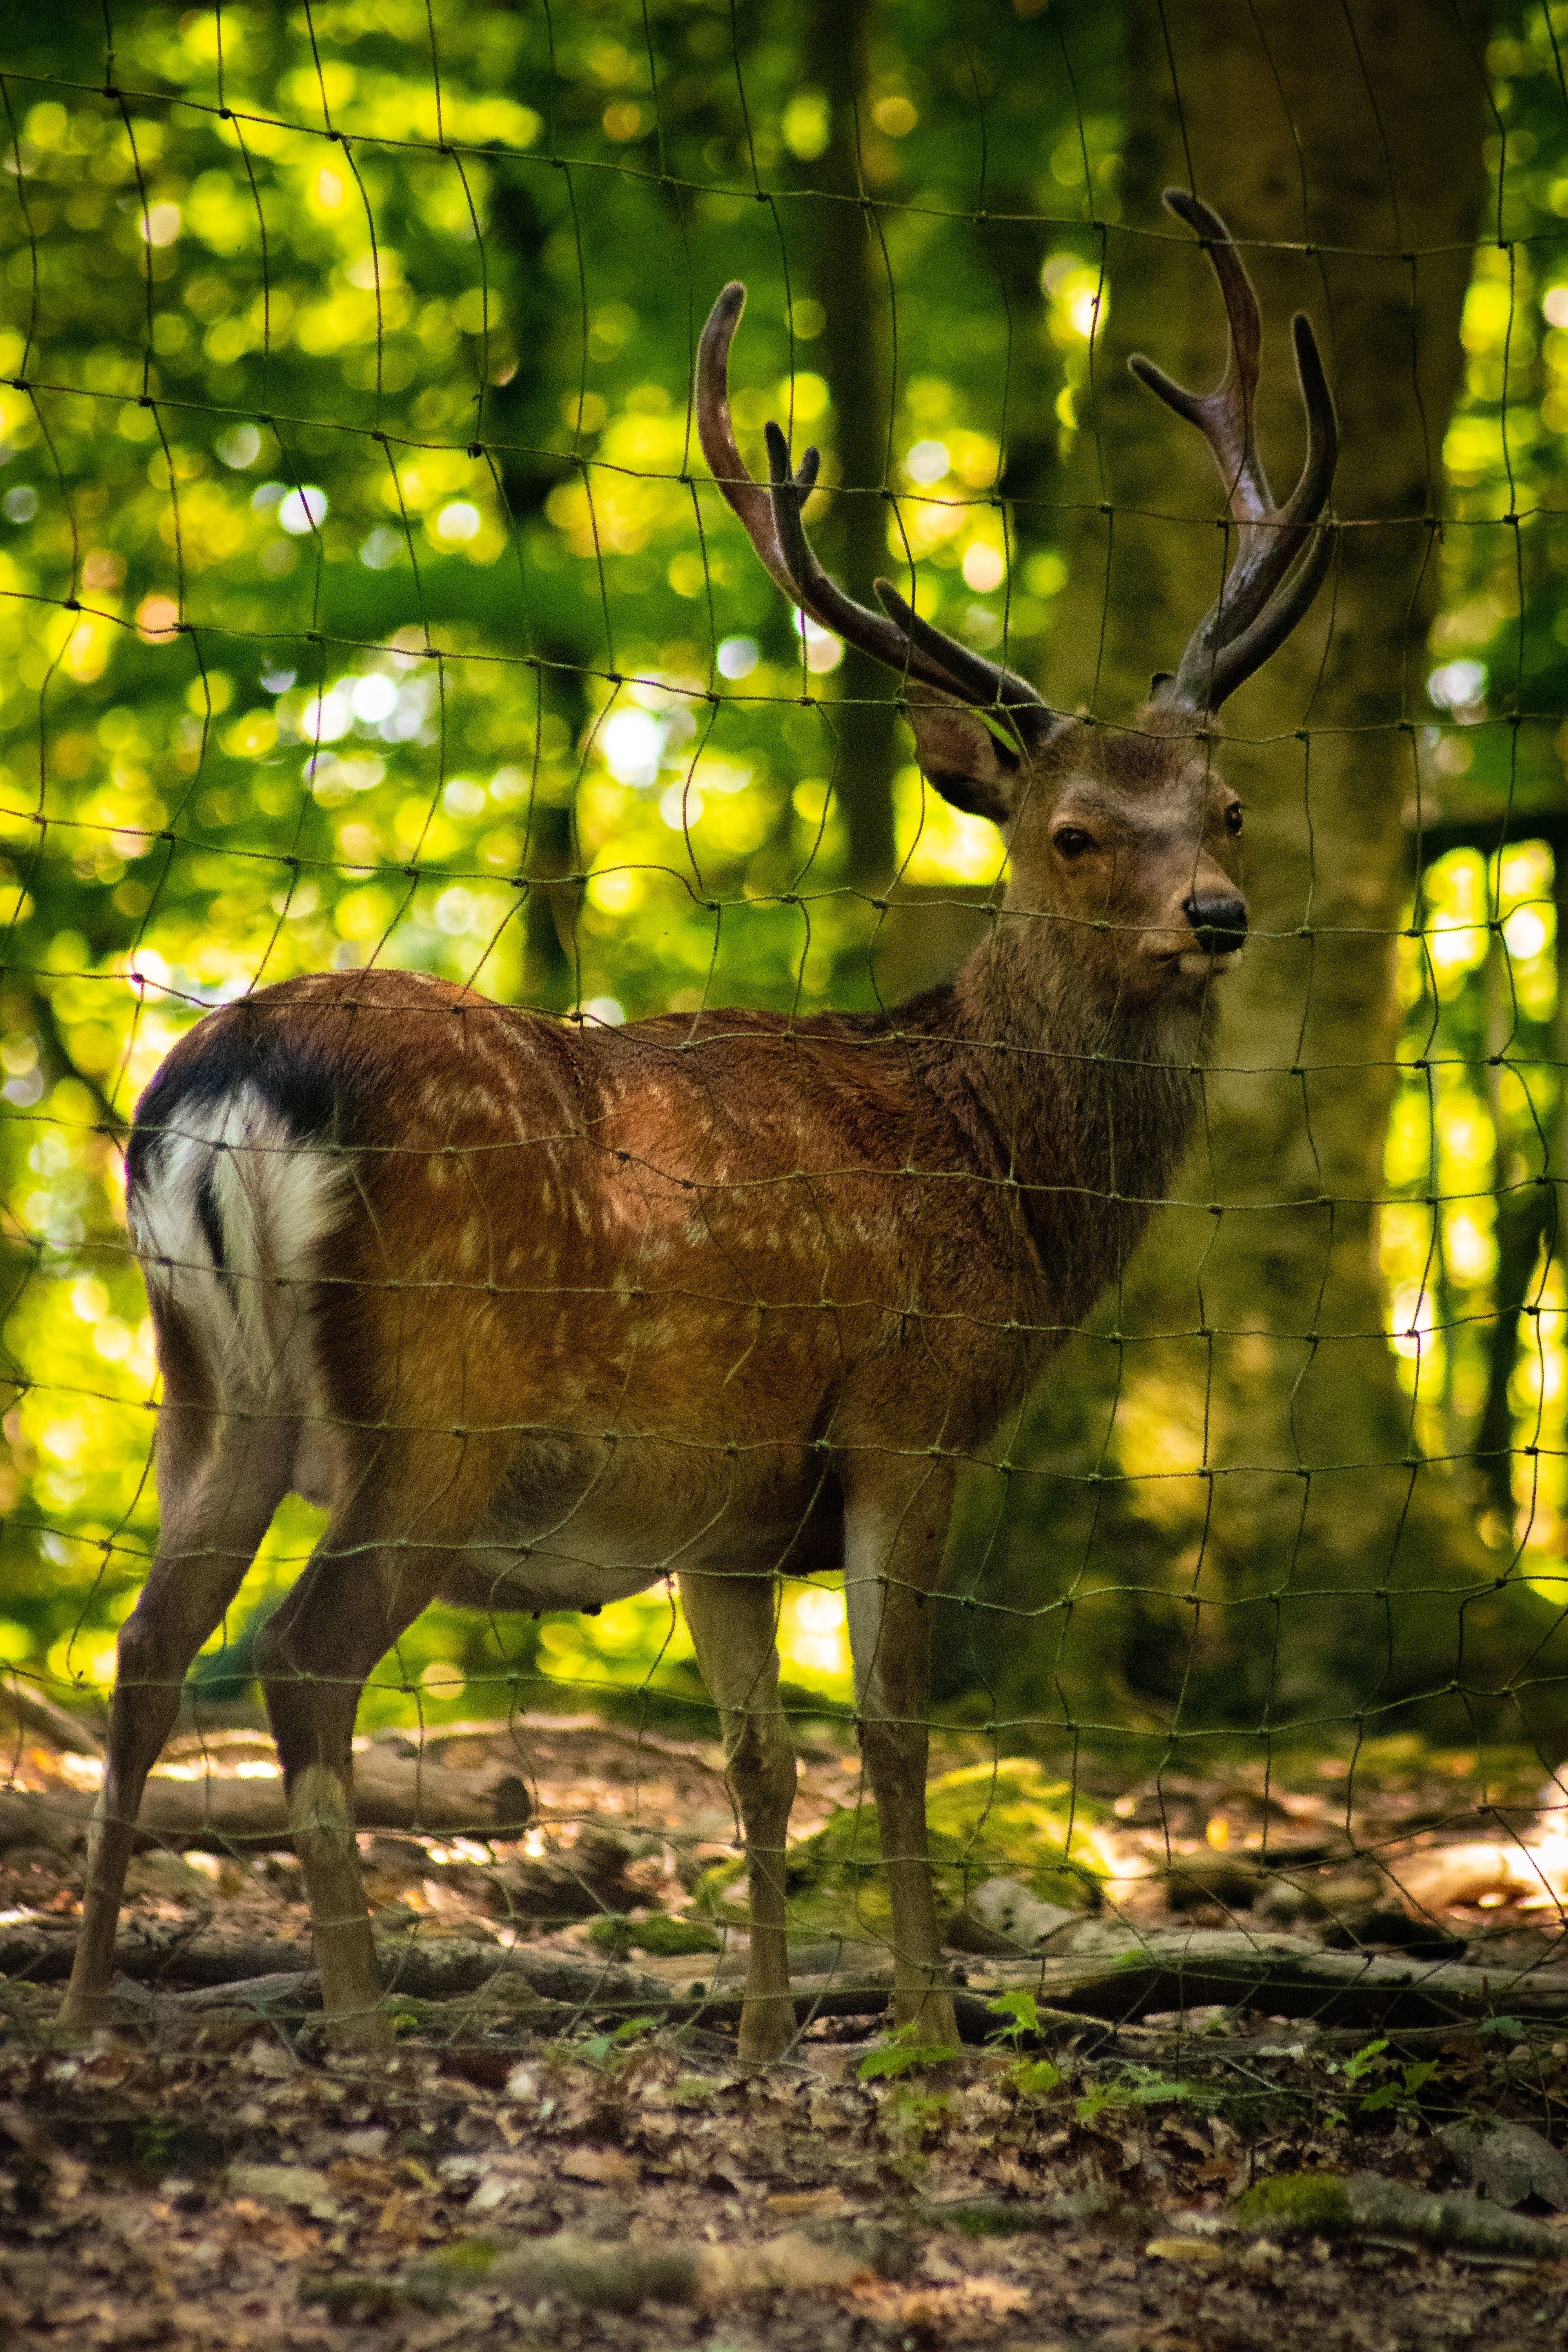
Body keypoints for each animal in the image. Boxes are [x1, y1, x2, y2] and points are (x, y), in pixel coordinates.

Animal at [61, 190, 1335, 2061]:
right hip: (432, 1398)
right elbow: (891, 1733)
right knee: (301, 1657)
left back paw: (87, 2005)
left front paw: (758, 2034)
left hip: (204, 1388)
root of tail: (222, 1089)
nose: (1218, 916)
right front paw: (924, 2027)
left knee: (144, 1653)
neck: (1009, 1188)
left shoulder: (721, 1511)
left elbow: (755, 1761)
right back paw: (363, 2021)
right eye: (1073, 833)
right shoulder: (905, 1410)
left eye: (1225, 805)